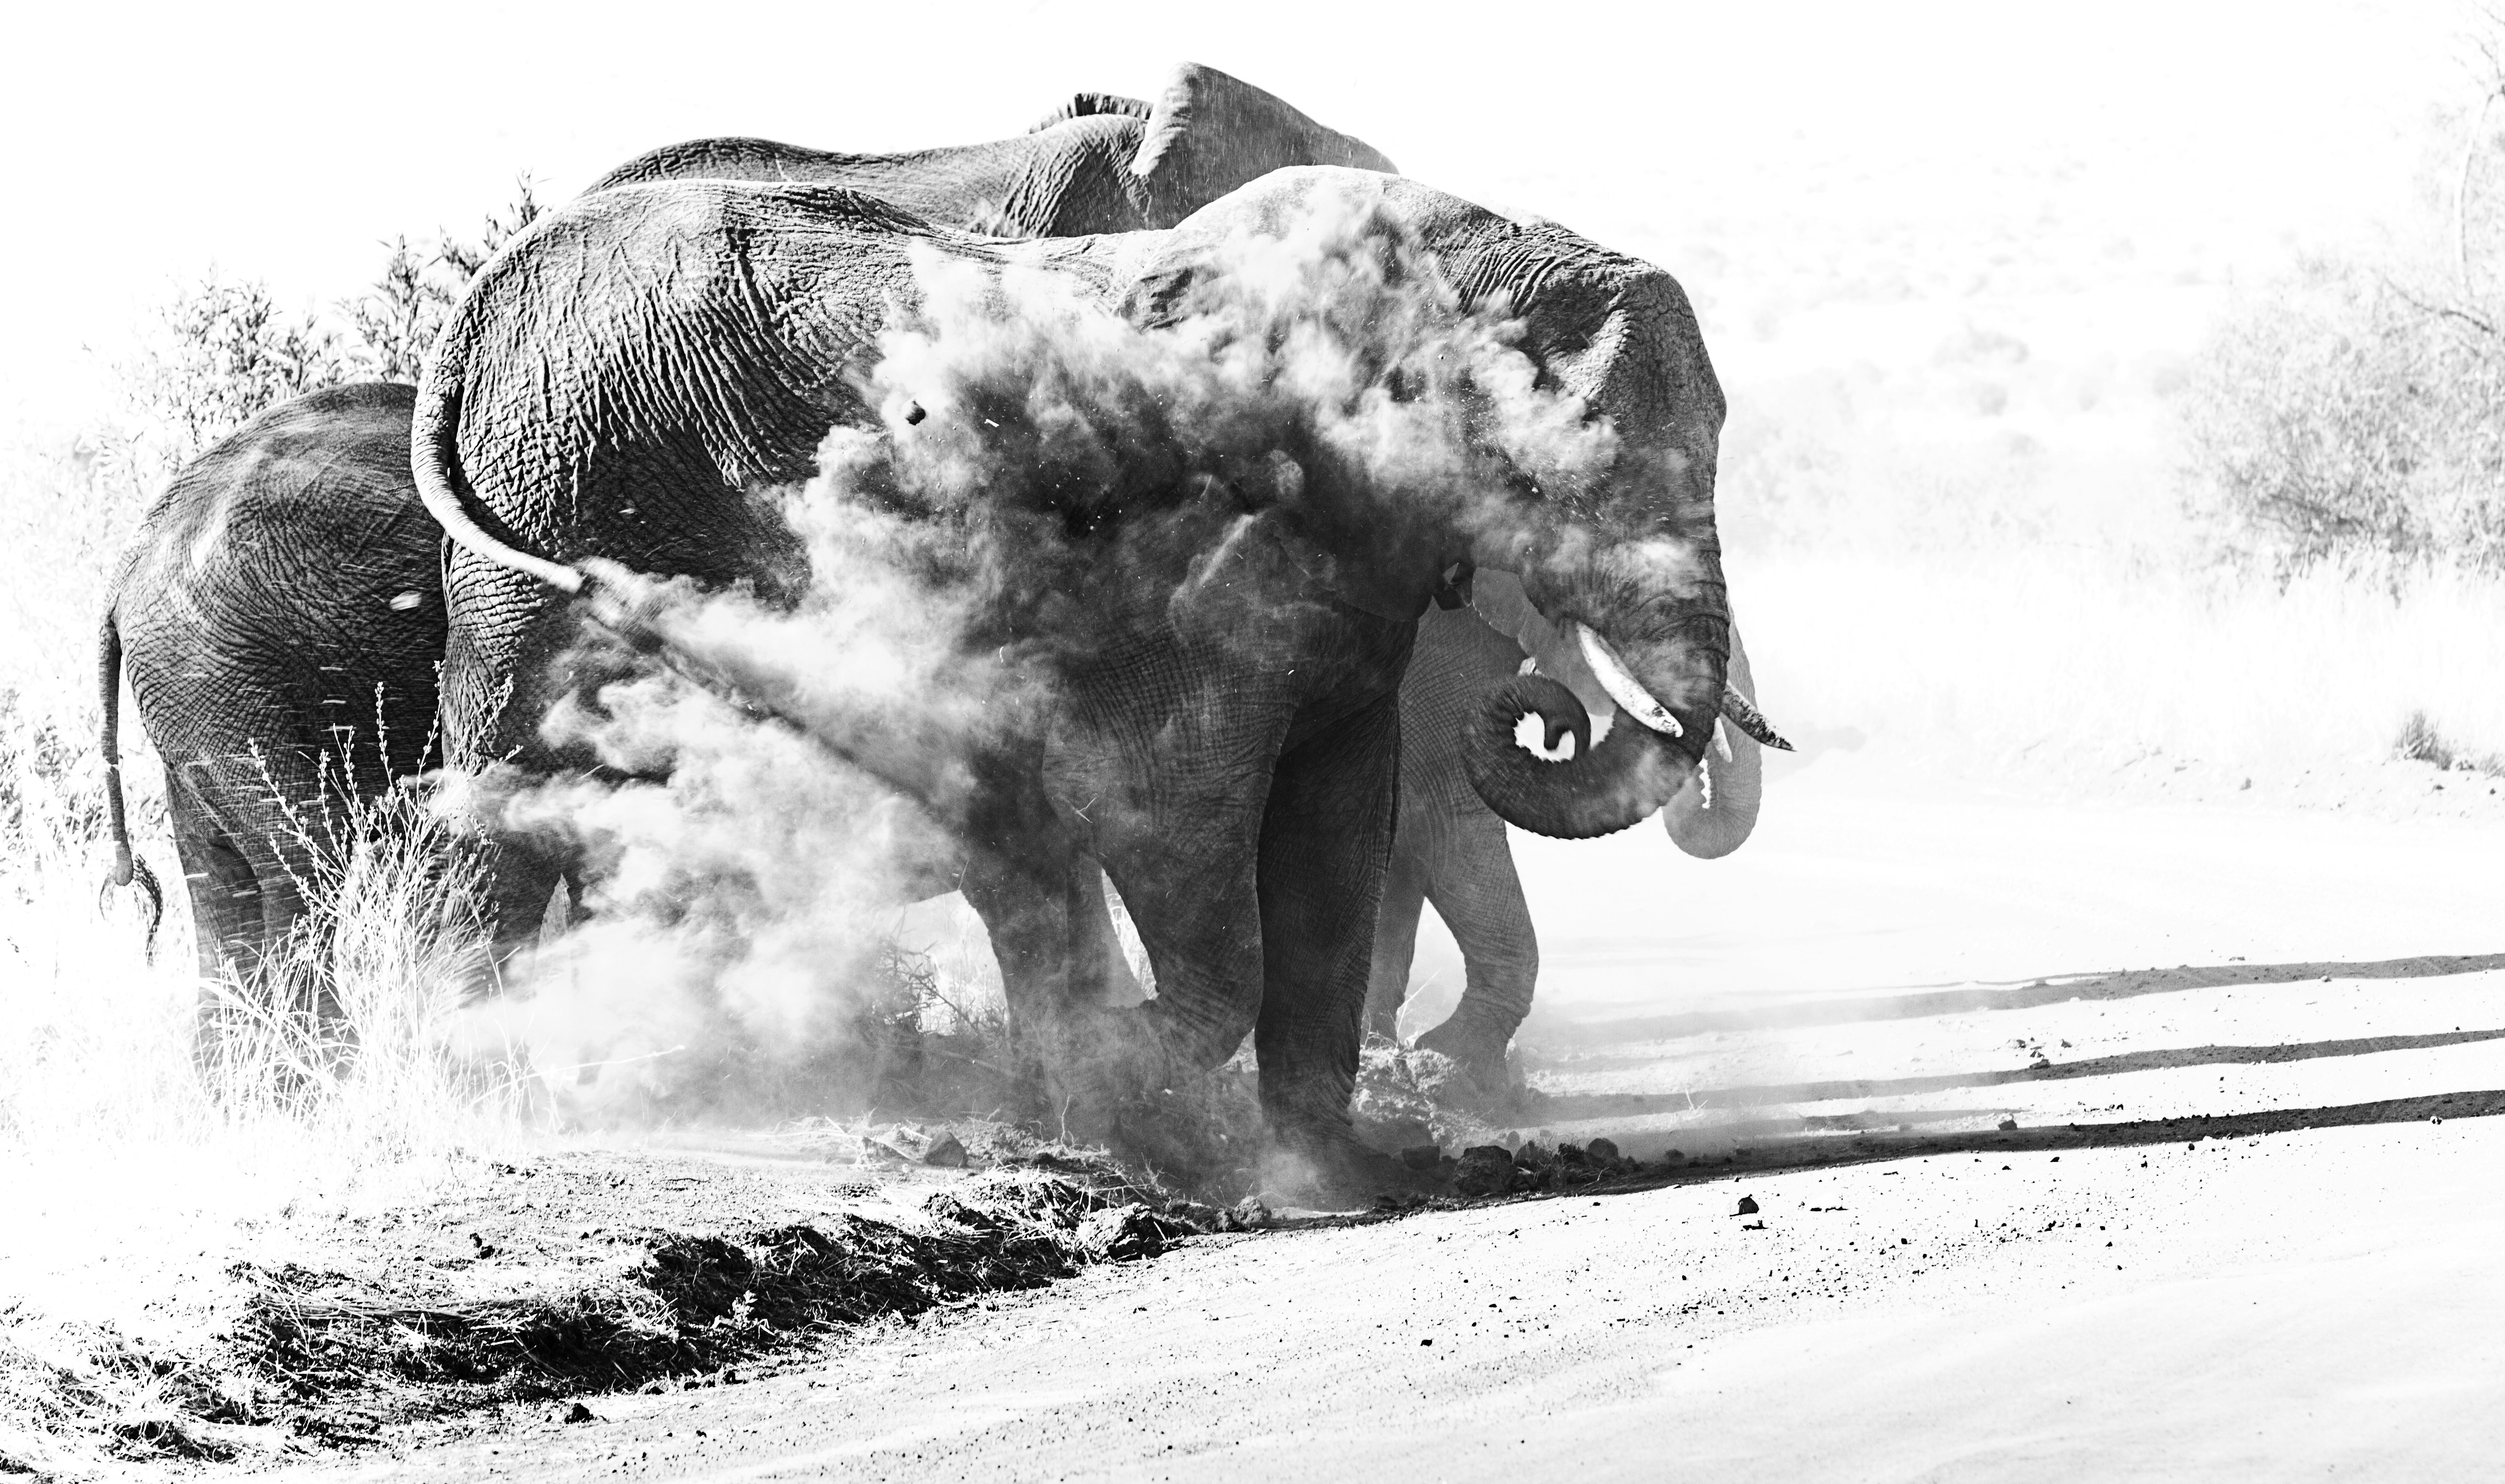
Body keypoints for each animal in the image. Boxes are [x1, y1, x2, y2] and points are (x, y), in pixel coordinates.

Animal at [411, 165, 1772, 1182]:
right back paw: (499, 1083)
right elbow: (1176, 812)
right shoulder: (1193, 550)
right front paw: (1120, 1084)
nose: (1547, 711)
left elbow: (1338, 825)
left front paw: (1326, 1168)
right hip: (559, 512)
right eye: (1552, 474)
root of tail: (478, 315)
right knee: (507, 804)